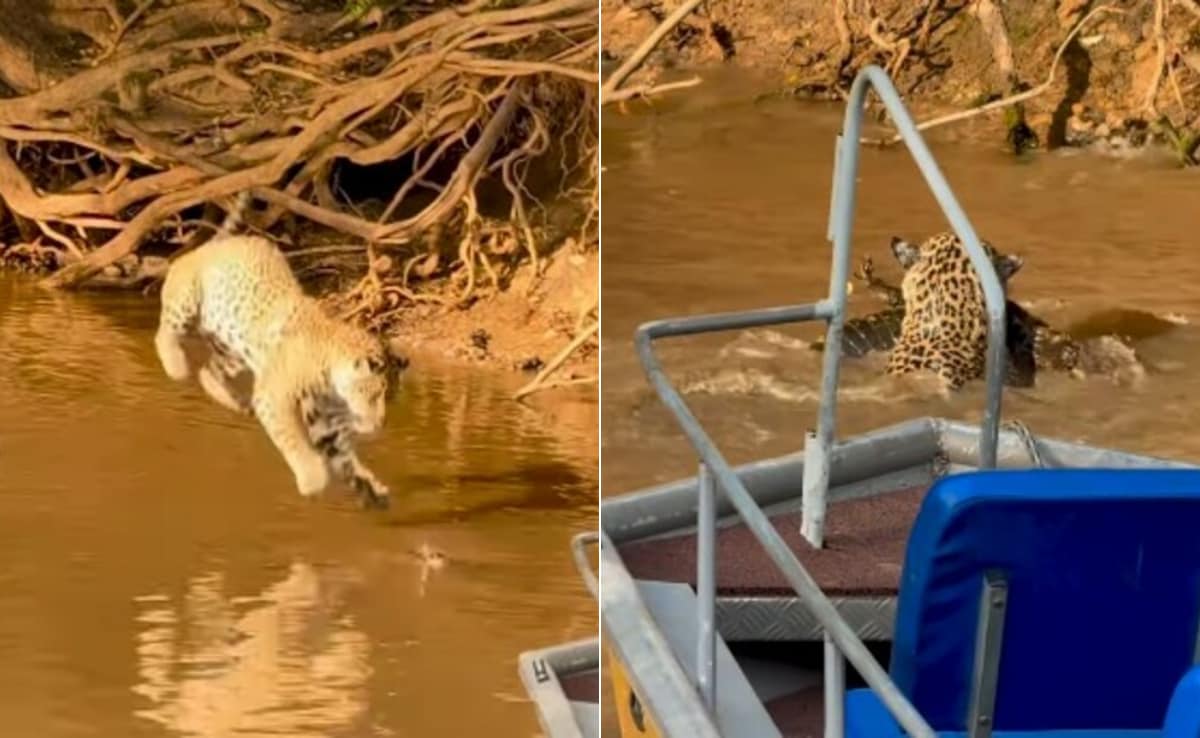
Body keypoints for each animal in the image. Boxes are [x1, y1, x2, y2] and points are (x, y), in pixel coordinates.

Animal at [154, 199, 404, 509]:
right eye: (374, 395)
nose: (380, 423)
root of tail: (215, 243)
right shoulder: (274, 396)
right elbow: (292, 439)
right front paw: (312, 479)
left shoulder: (325, 420)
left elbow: (343, 457)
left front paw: (371, 488)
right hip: (186, 301)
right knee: (166, 332)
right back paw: (176, 366)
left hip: (235, 350)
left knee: (208, 372)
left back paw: (237, 403)